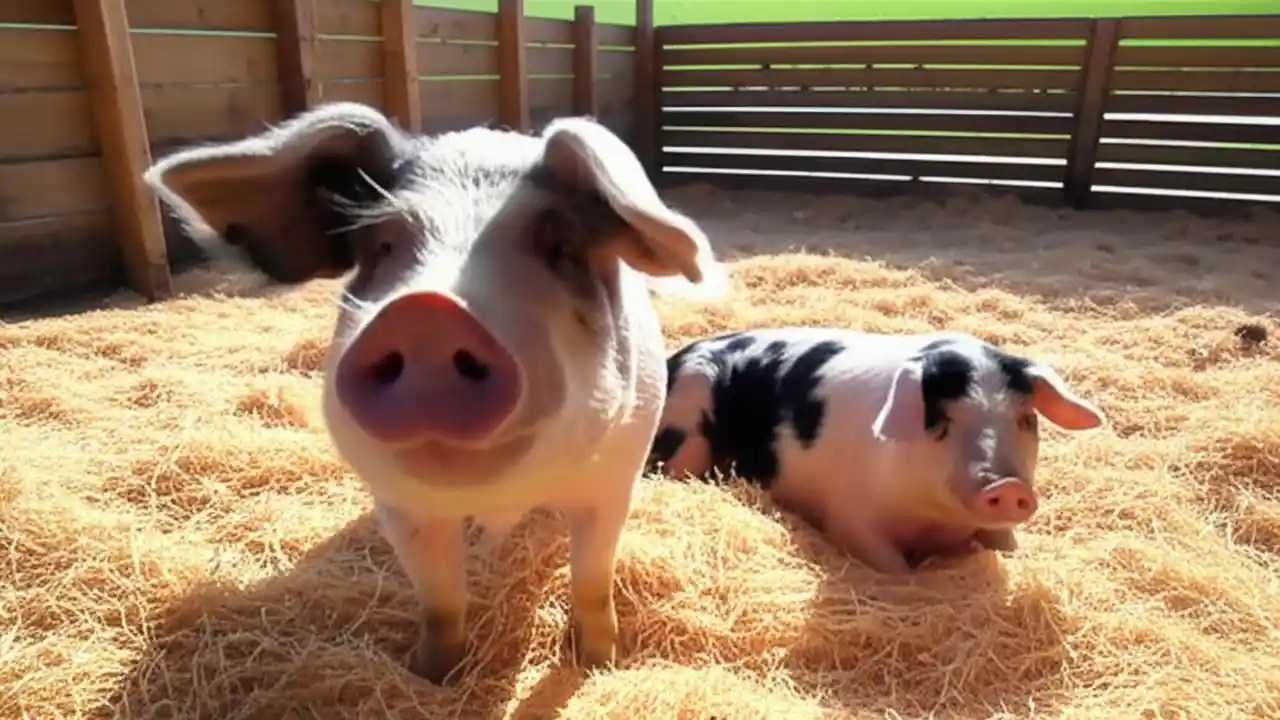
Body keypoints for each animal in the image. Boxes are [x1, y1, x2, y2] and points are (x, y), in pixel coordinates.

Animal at [143, 102, 724, 683]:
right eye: (381, 246)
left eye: (560, 247)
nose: (426, 313)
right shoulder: (400, 507)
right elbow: (441, 601)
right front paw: (432, 676)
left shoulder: (613, 481)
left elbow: (592, 583)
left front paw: (598, 663)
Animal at [647, 326, 1106, 574]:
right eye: (941, 420)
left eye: (1025, 420)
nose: (1009, 486)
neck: (934, 521)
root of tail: (673, 359)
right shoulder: (851, 516)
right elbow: (892, 567)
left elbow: (1005, 544)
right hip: (687, 423)